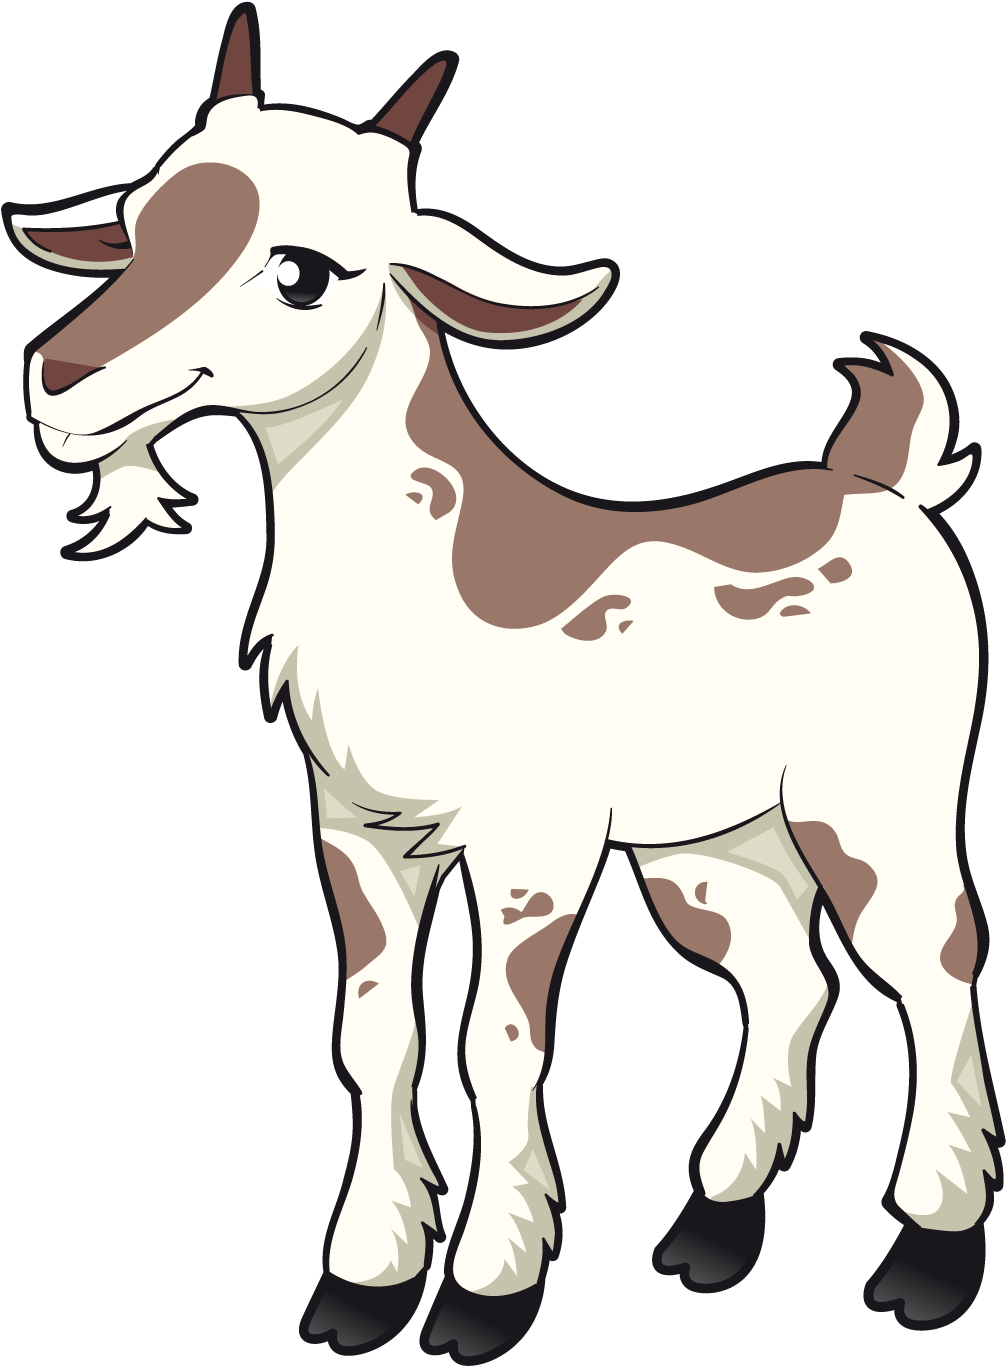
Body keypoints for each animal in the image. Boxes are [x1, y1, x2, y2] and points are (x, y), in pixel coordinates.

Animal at [6, 5, 998, 1357]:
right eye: (143, 221)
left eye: (302, 269)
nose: (62, 379)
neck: (443, 589)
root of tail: (878, 483)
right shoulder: (359, 830)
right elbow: (376, 1037)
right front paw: (362, 1284)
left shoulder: (533, 846)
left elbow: (499, 1045)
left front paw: (487, 1291)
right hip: (709, 844)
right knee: (782, 977)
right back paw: (710, 1234)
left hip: (872, 798)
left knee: (929, 956)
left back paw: (932, 1257)